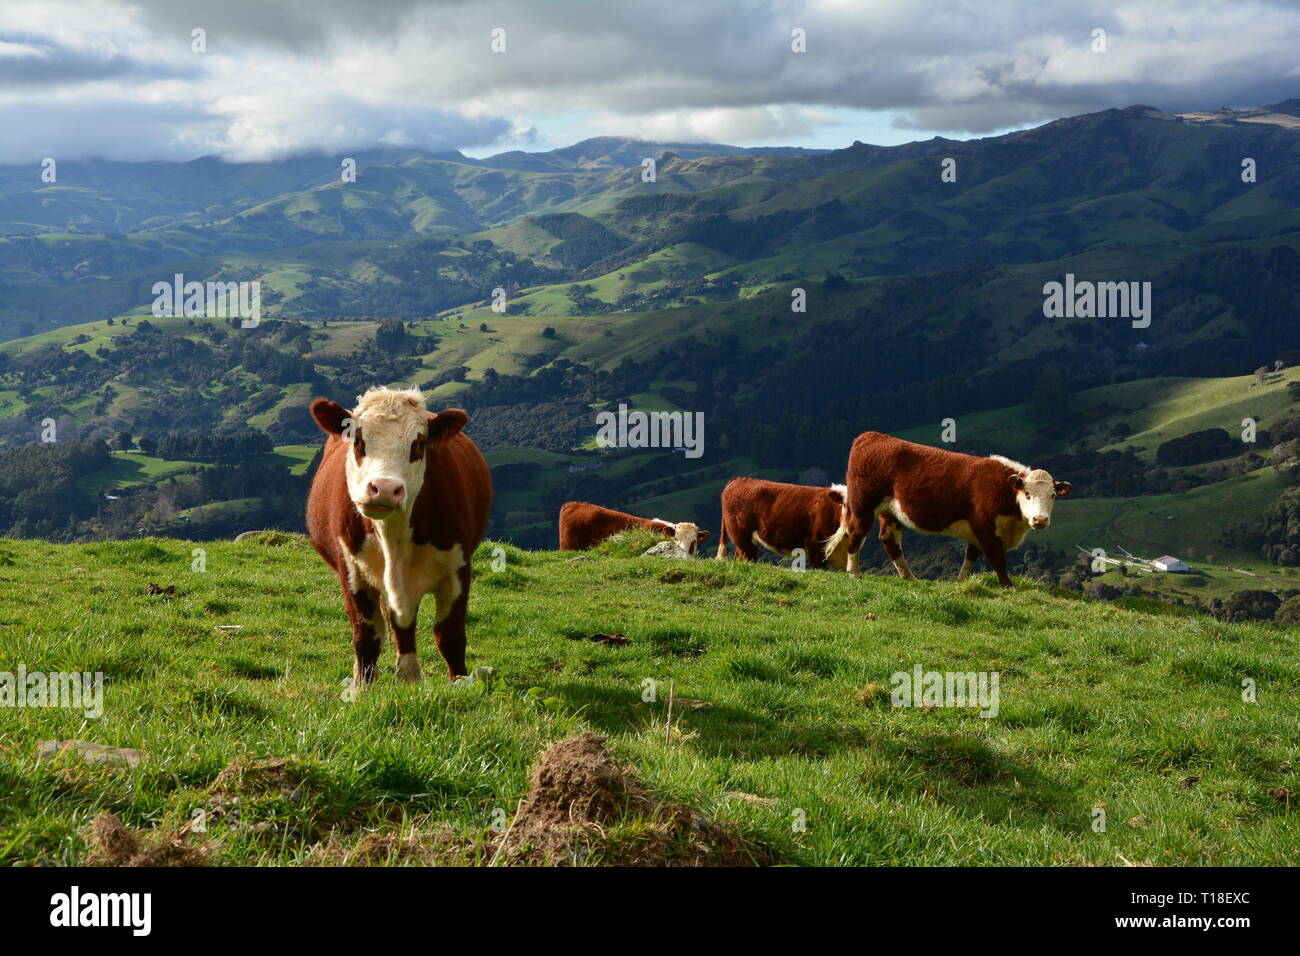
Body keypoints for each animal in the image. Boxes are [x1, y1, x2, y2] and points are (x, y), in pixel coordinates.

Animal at [306, 386, 492, 687]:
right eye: (358, 440)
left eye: (419, 444)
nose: (383, 488)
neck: (394, 537)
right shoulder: (351, 571)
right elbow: (366, 638)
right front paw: (363, 688)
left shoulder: (458, 568)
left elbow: (450, 636)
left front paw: (457, 683)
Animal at [825, 432, 1071, 588]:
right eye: (1027, 494)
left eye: (1052, 495)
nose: (1040, 519)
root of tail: (872, 436)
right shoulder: (984, 526)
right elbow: (996, 558)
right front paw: (1008, 586)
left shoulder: (978, 530)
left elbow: (971, 556)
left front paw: (961, 582)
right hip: (863, 505)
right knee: (855, 533)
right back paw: (854, 573)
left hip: (891, 511)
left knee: (888, 539)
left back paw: (909, 577)